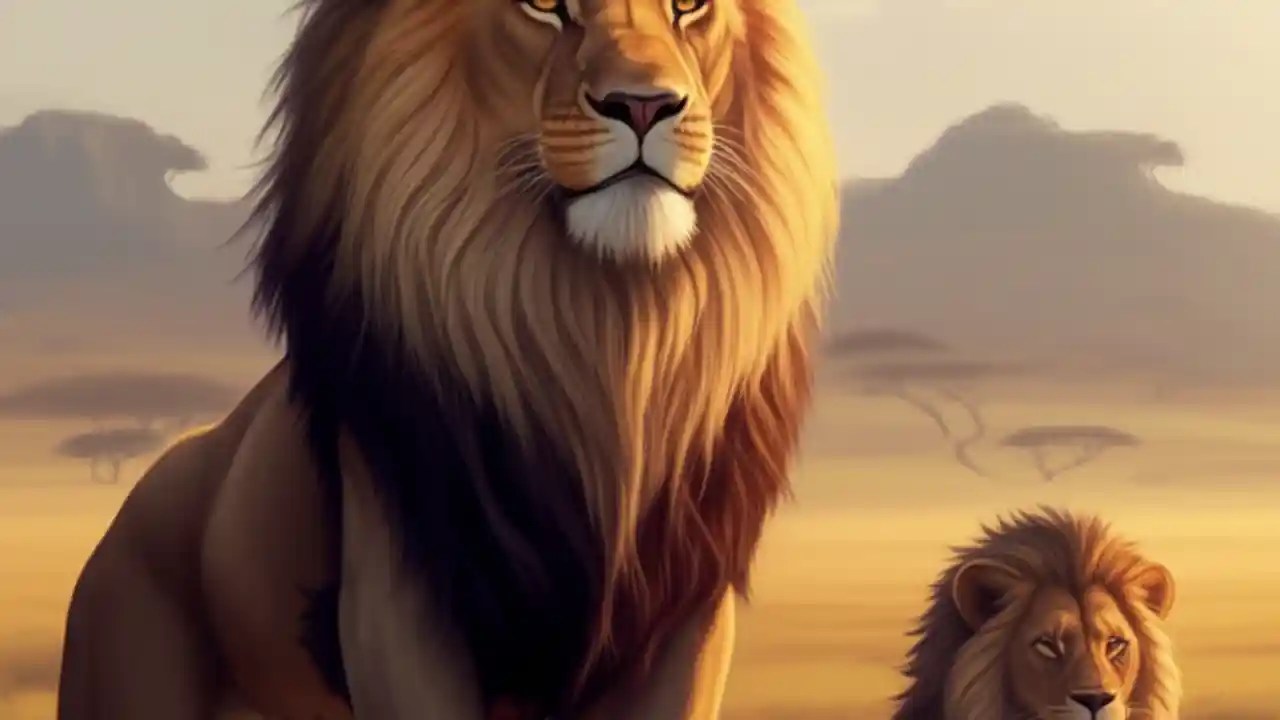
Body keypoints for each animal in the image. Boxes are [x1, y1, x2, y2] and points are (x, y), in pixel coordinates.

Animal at [57, 1, 837, 719]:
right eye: (543, 6)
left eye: (689, 7)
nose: (644, 104)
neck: (605, 344)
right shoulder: (397, 603)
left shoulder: (687, 607)